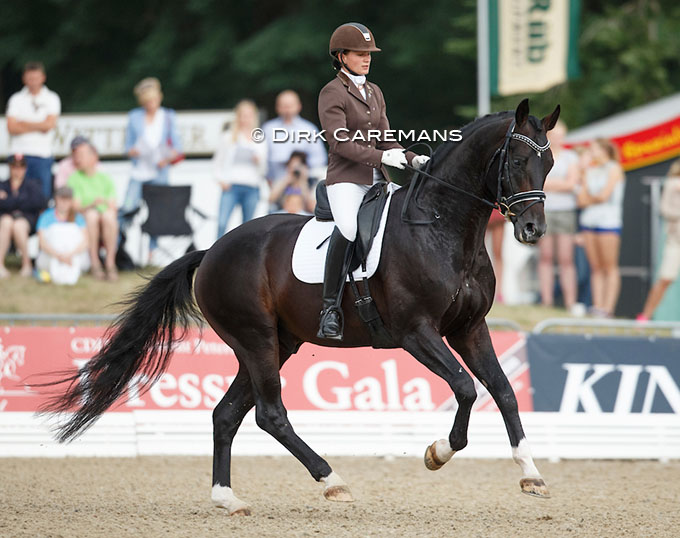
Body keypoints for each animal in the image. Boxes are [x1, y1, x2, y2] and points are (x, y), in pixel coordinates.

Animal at [42, 98, 560, 515]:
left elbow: (503, 391)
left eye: (550, 162)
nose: (533, 229)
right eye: (516, 159)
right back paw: (332, 481)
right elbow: (466, 389)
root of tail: (210, 251)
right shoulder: (417, 332)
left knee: (227, 414)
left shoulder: (469, 328)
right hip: (256, 339)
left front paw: (531, 474)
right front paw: (437, 452)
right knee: (269, 413)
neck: (442, 228)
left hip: (275, 342)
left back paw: (227, 499)